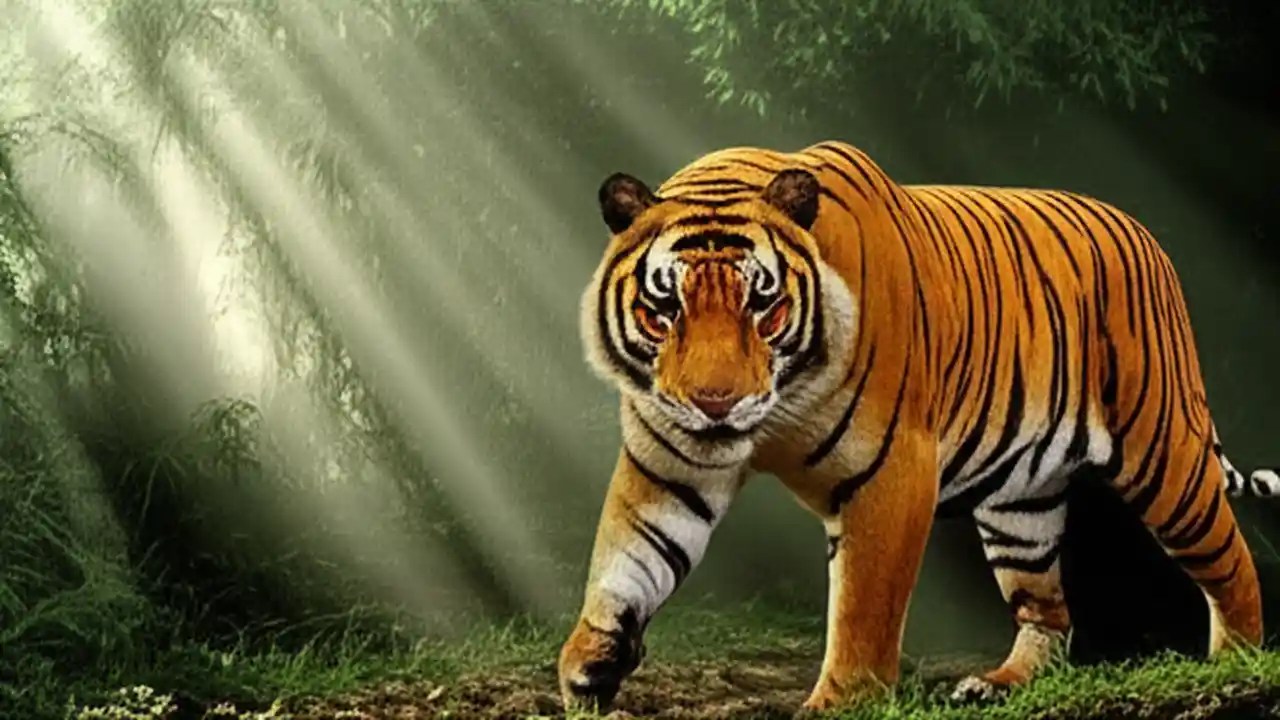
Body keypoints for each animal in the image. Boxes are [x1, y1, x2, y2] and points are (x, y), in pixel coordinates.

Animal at [557, 140, 1280, 713]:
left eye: (765, 305)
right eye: (663, 309)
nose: (715, 405)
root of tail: (1146, 233)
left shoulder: (891, 472)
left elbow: (862, 606)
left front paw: (842, 703)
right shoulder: (667, 466)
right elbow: (625, 560)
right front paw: (589, 664)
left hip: (1163, 457)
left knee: (1231, 559)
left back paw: (1236, 663)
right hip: (1021, 508)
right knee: (1047, 609)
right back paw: (998, 684)